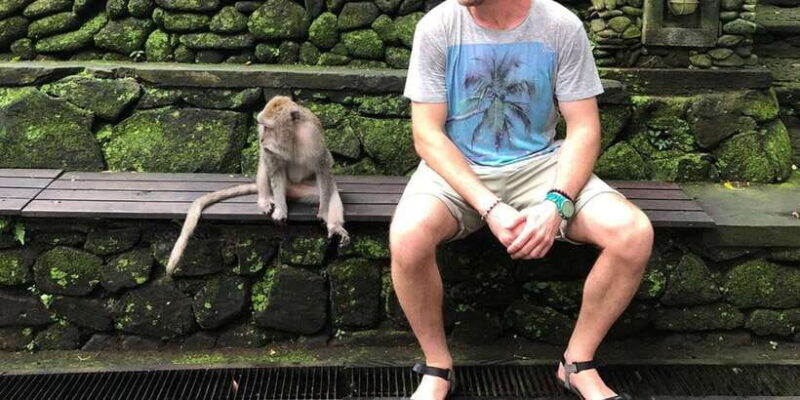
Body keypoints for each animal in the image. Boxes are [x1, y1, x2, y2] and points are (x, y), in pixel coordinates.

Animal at [165, 96, 350, 276]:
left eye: (269, 127)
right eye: (263, 127)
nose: (261, 138)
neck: (291, 136)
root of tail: (292, 189)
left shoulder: (313, 137)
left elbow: (324, 168)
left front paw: (324, 212)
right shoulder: (270, 148)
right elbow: (273, 167)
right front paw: (281, 209)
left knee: (332, 190)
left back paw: (334, 225)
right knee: (265, 163)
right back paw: (265, 198)